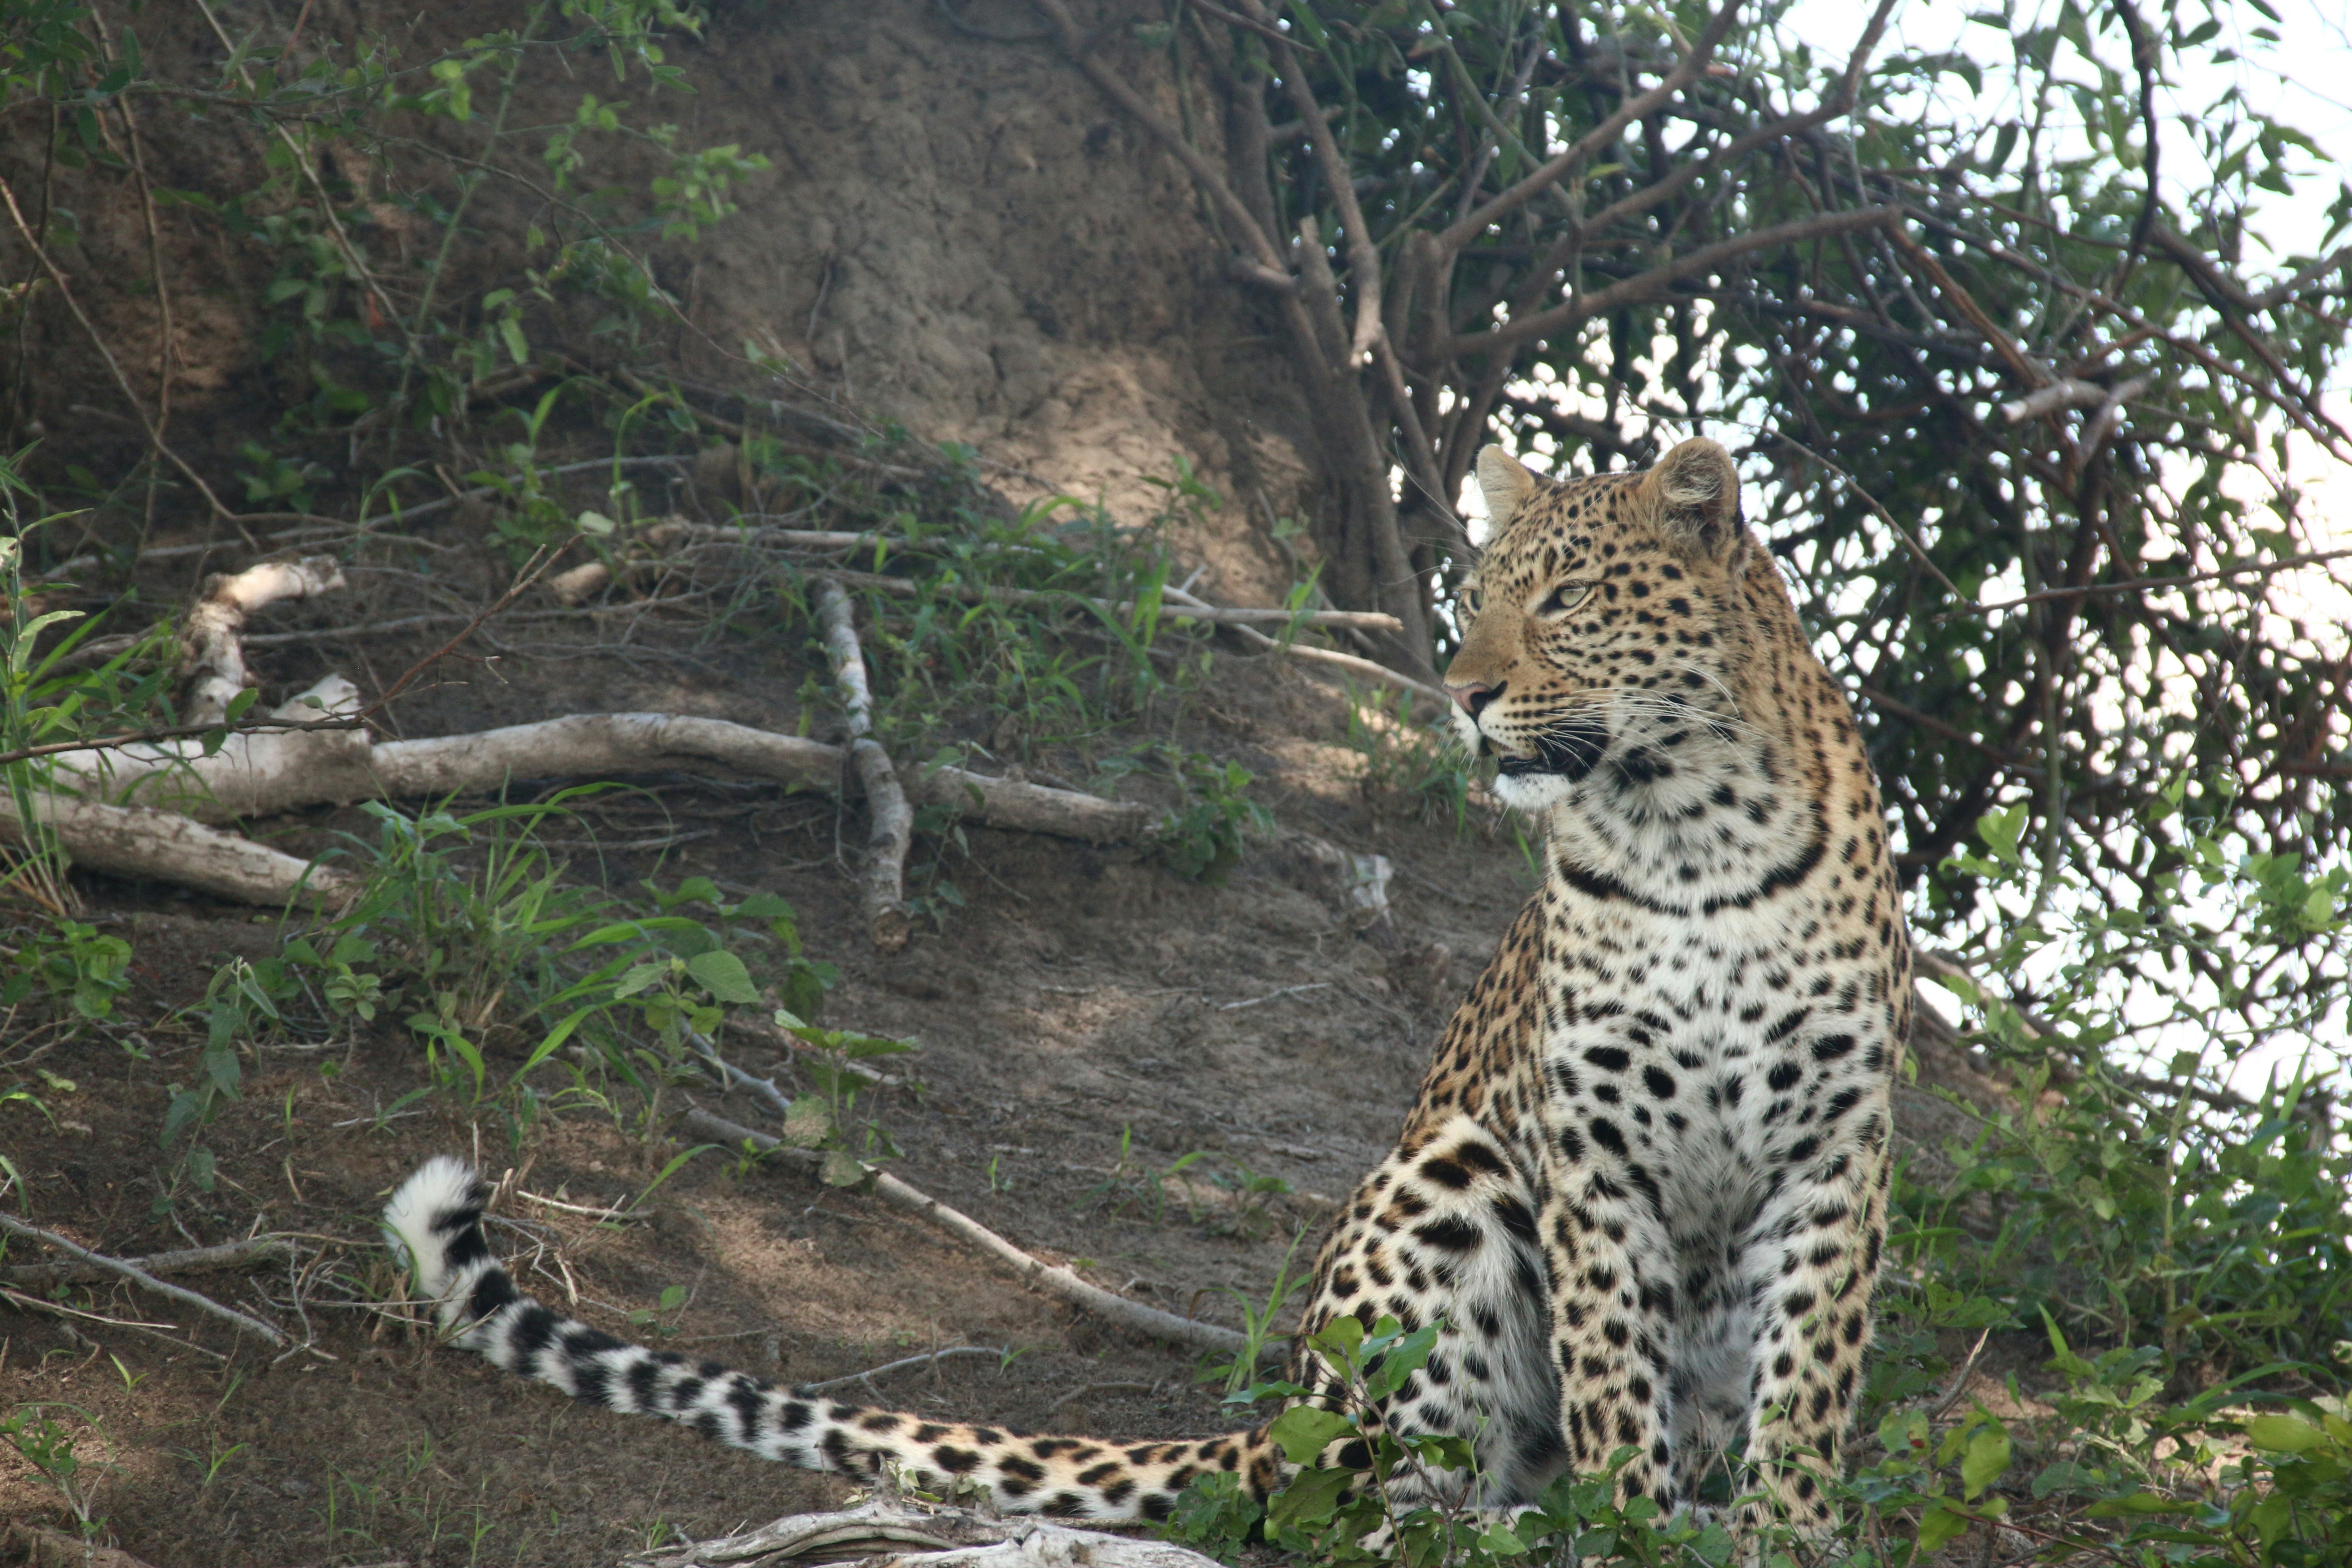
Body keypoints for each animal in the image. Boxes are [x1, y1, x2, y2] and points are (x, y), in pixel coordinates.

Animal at [381, 435, 1910, 1538]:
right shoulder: (1590, 1154)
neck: (1690, 830)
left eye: (1569, 600)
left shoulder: (1837, 1151)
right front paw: (1632, 1530)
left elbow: (1808, 1388)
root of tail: (1279, 1412)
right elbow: (1611, 1388)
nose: (1461, 694)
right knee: (1364, 1508)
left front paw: (1779, 1538)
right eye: (1476, 600)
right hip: (1448, 1178)